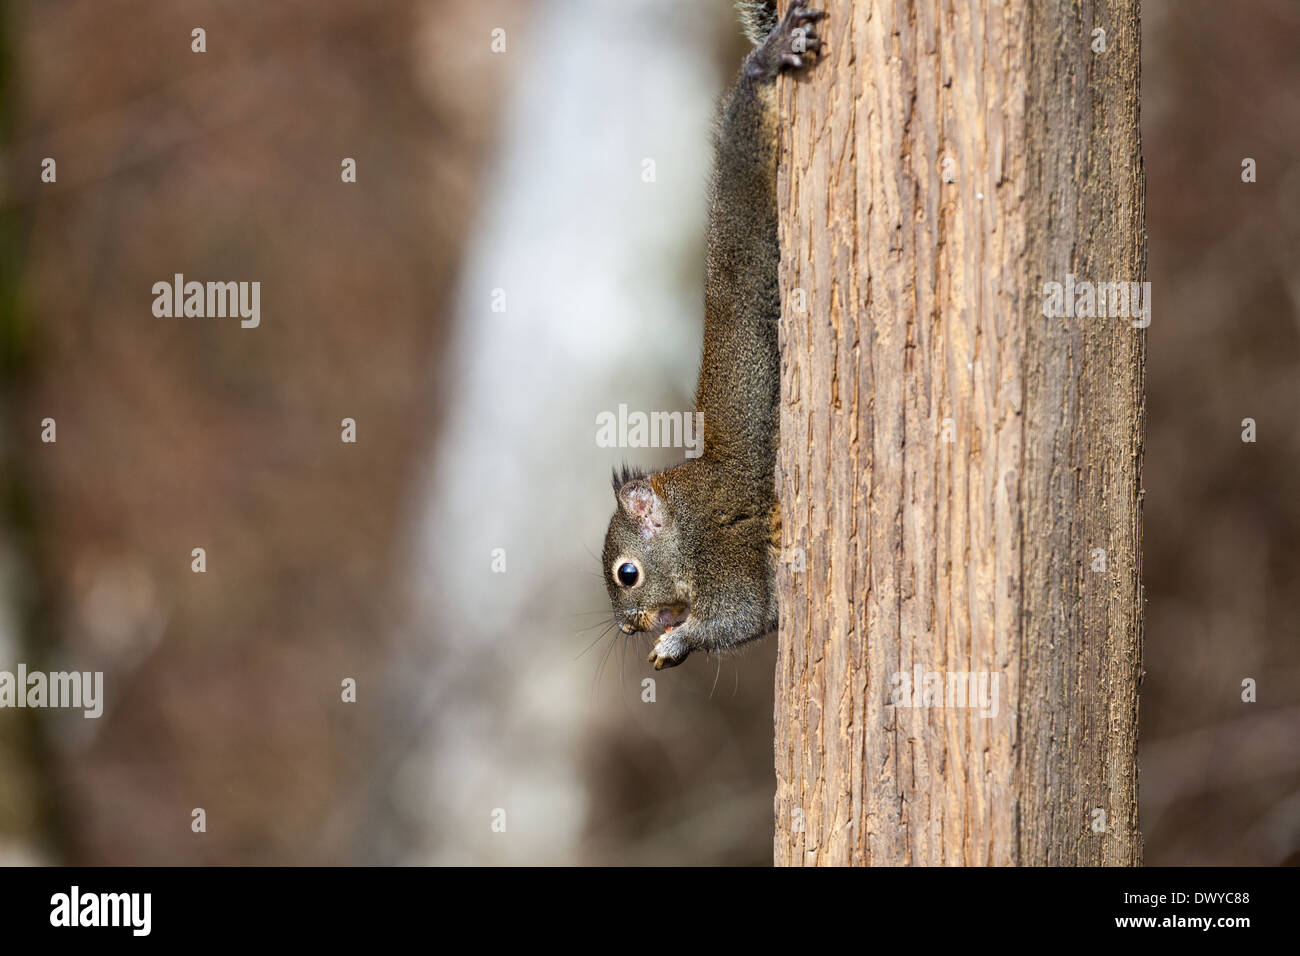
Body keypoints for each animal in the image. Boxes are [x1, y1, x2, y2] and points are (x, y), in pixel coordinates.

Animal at [601, 1, 825, 670]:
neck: (682, 519)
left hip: (745, 185)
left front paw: (674, 642)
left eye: (627, 574)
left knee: (744, 109)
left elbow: (741, 614)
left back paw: (769, 58)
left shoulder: (723, 554)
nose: (629, 628)